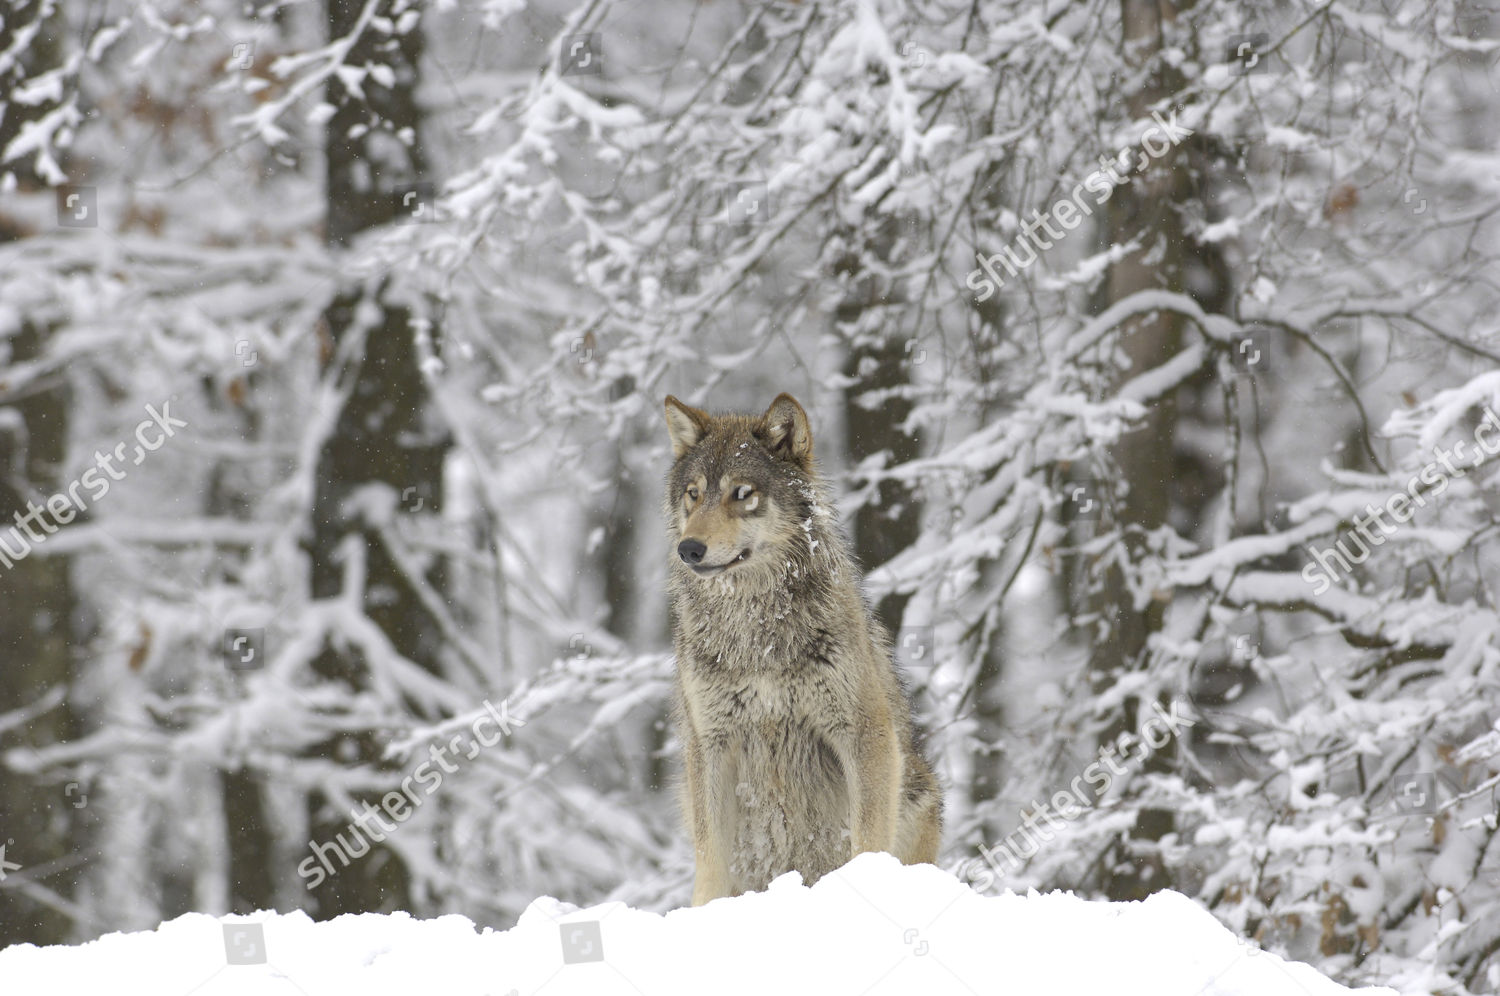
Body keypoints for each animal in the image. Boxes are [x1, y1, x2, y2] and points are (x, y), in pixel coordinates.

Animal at [662, 392, 942, 905]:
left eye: (741, 493)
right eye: (693, 493)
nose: (688, 549)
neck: (756, 631)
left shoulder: (863, 732)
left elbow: (867, 837)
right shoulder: (709, 744)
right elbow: (710, 858)